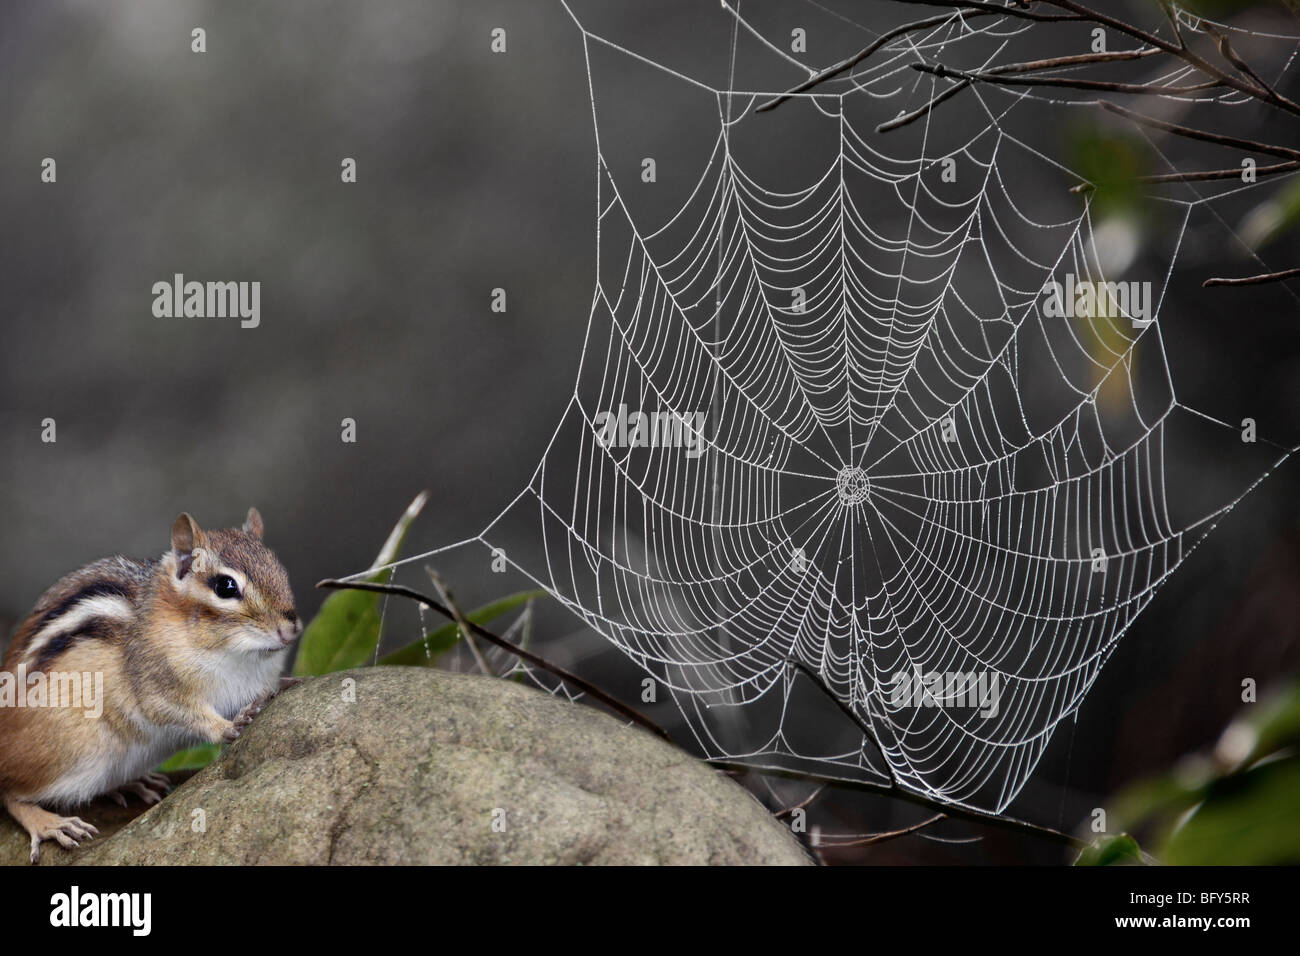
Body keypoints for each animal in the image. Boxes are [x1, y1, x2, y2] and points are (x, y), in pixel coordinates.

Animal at [0, 508, 301, 863]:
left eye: (279, 568)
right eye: (225, 586)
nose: (290, 629)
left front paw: (288, 682)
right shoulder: (153, 685)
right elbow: (178, 712)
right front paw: (229, 725)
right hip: (74, 753)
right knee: (10, 793)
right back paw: (48, 822)